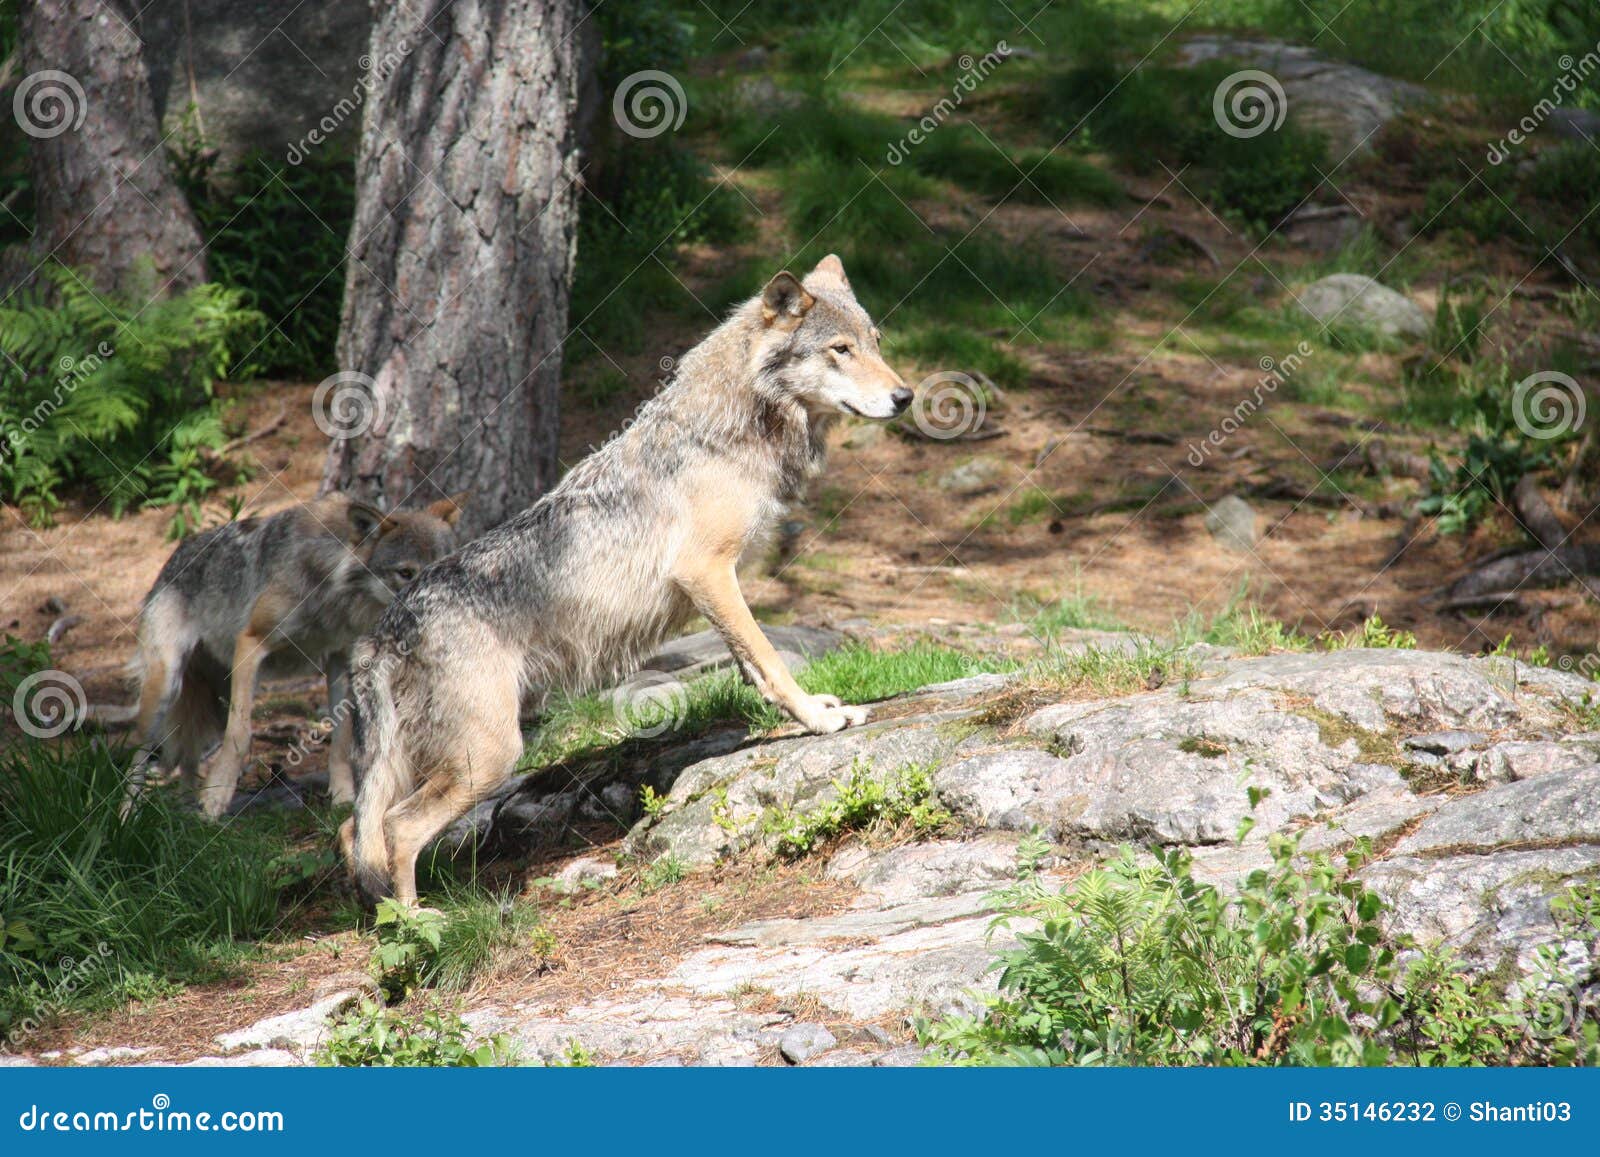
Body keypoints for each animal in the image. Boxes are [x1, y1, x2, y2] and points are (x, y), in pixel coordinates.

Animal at [124, 491, 467, 818]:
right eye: (405, 573)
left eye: (443, 567)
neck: (332, 585)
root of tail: (171, 560)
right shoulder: (251, 644)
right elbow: (240, 736)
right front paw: (214, 800)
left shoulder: (339, 657)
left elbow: (340, 740)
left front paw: (342, 798)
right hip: (167, 687)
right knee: (139, 753)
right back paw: (128, 816)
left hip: (212, 700)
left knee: (189, 756)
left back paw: (184, 811)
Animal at [341, 255, 912, 904]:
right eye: (840, 350)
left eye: (874, 342)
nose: (906, 396)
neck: (739, 428)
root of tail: (385, 628)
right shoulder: (707, 571)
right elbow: (770, 657)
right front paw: (818, 719)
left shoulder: (721, 584)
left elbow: (752, 663)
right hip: (487, 756)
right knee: (396, 827)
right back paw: (417, 924)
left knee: (353, 830)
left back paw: (379, 914)